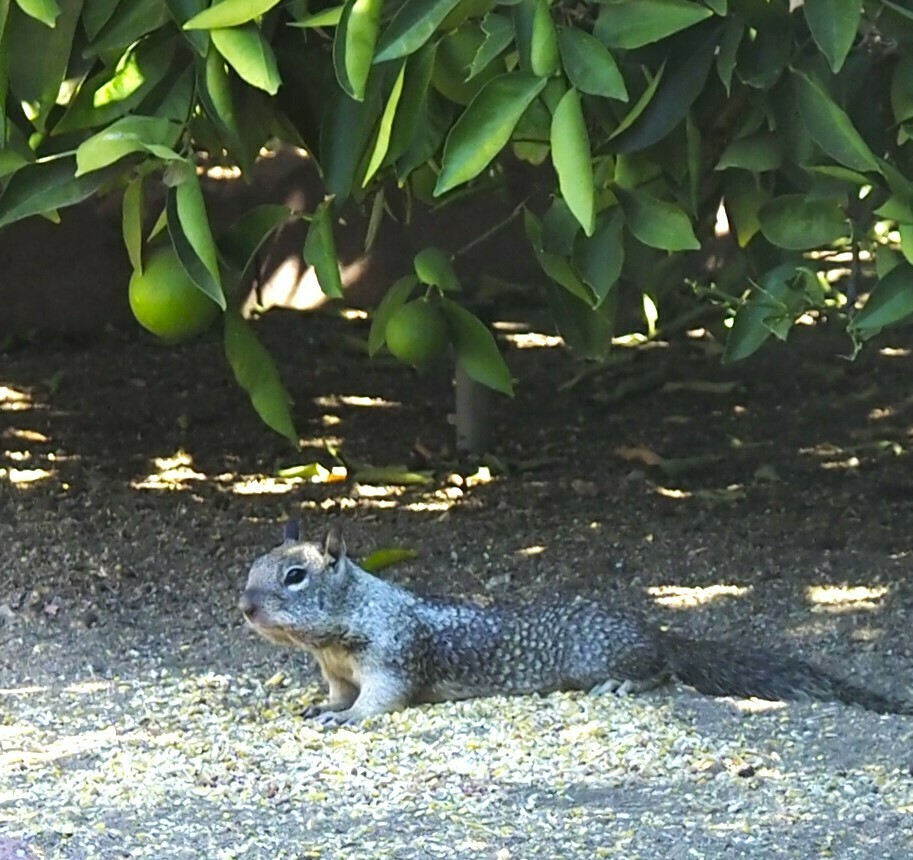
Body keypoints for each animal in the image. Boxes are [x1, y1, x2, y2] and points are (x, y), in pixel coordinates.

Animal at [238, 523, 913, 726]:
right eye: (252, 566)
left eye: (295, 575)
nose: (245, 606)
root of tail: (655, 629)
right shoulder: (336, 669)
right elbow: (334, 692)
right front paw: (319, 707)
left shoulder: (394, 656)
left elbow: (381, 700)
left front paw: (347, 719)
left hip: (606, 658)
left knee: (661, 672)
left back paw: (627, 681)